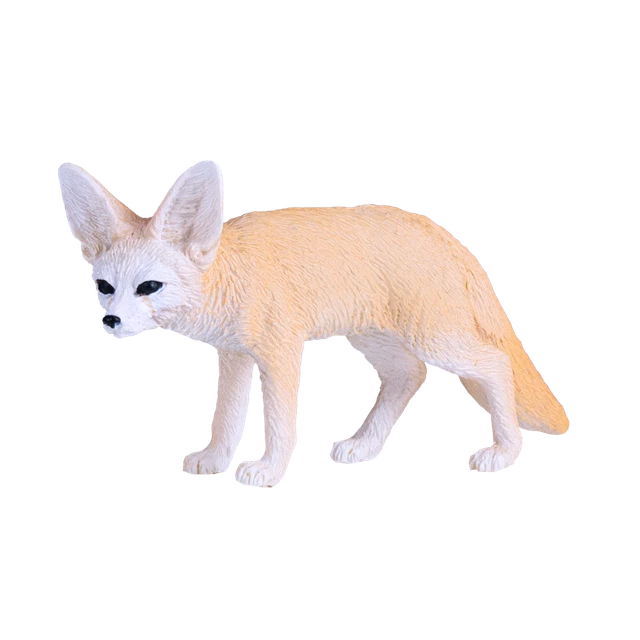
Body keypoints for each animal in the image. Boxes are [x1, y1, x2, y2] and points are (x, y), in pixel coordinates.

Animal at [55, 158, 571, 487]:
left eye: (149, 287)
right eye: (104, 286)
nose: (109, 318)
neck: (230, 270)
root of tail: (444, 234)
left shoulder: (280, 352)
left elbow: (280, 420)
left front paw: (267, 470)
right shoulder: (234, 354)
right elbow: (225, 416)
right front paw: (216, 459)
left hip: (438, 338)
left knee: (495, 363)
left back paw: (505, 451)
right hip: (375, 336)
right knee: (408, 375)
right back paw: (362, 447)